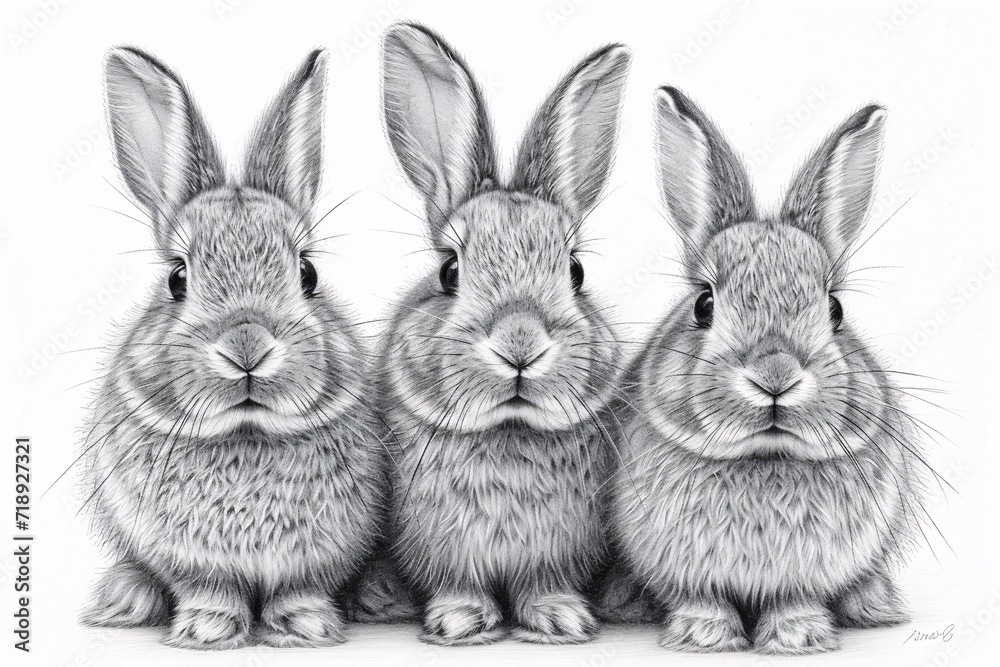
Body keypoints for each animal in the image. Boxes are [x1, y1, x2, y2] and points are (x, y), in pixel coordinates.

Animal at [77, 46, 389, 649]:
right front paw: (208, 630)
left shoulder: (323, 554)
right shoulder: (184, 557)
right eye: (177, 278)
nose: (247, 347)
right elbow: (208, 587)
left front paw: (306, 626)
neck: (248, 432)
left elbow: (302, 587)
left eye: (308, 273)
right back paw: (124, 597)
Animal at [375, 22, 630, 645]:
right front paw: (461, 620)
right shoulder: (441, 549)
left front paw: (561, 618)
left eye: (576, 272)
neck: (508, 429)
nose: (520, 345)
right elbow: (457, 582)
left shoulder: (558, 551)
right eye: (449, 270)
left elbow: (544, 584)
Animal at [606, 88, 927, 654]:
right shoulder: (680, 567)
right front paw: (705, 635)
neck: (764, 456)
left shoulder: (810, 572)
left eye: (835, 310)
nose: (775, 376)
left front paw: (798, 636)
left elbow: (794, 598)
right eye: (704, 305)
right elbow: (700, 596)